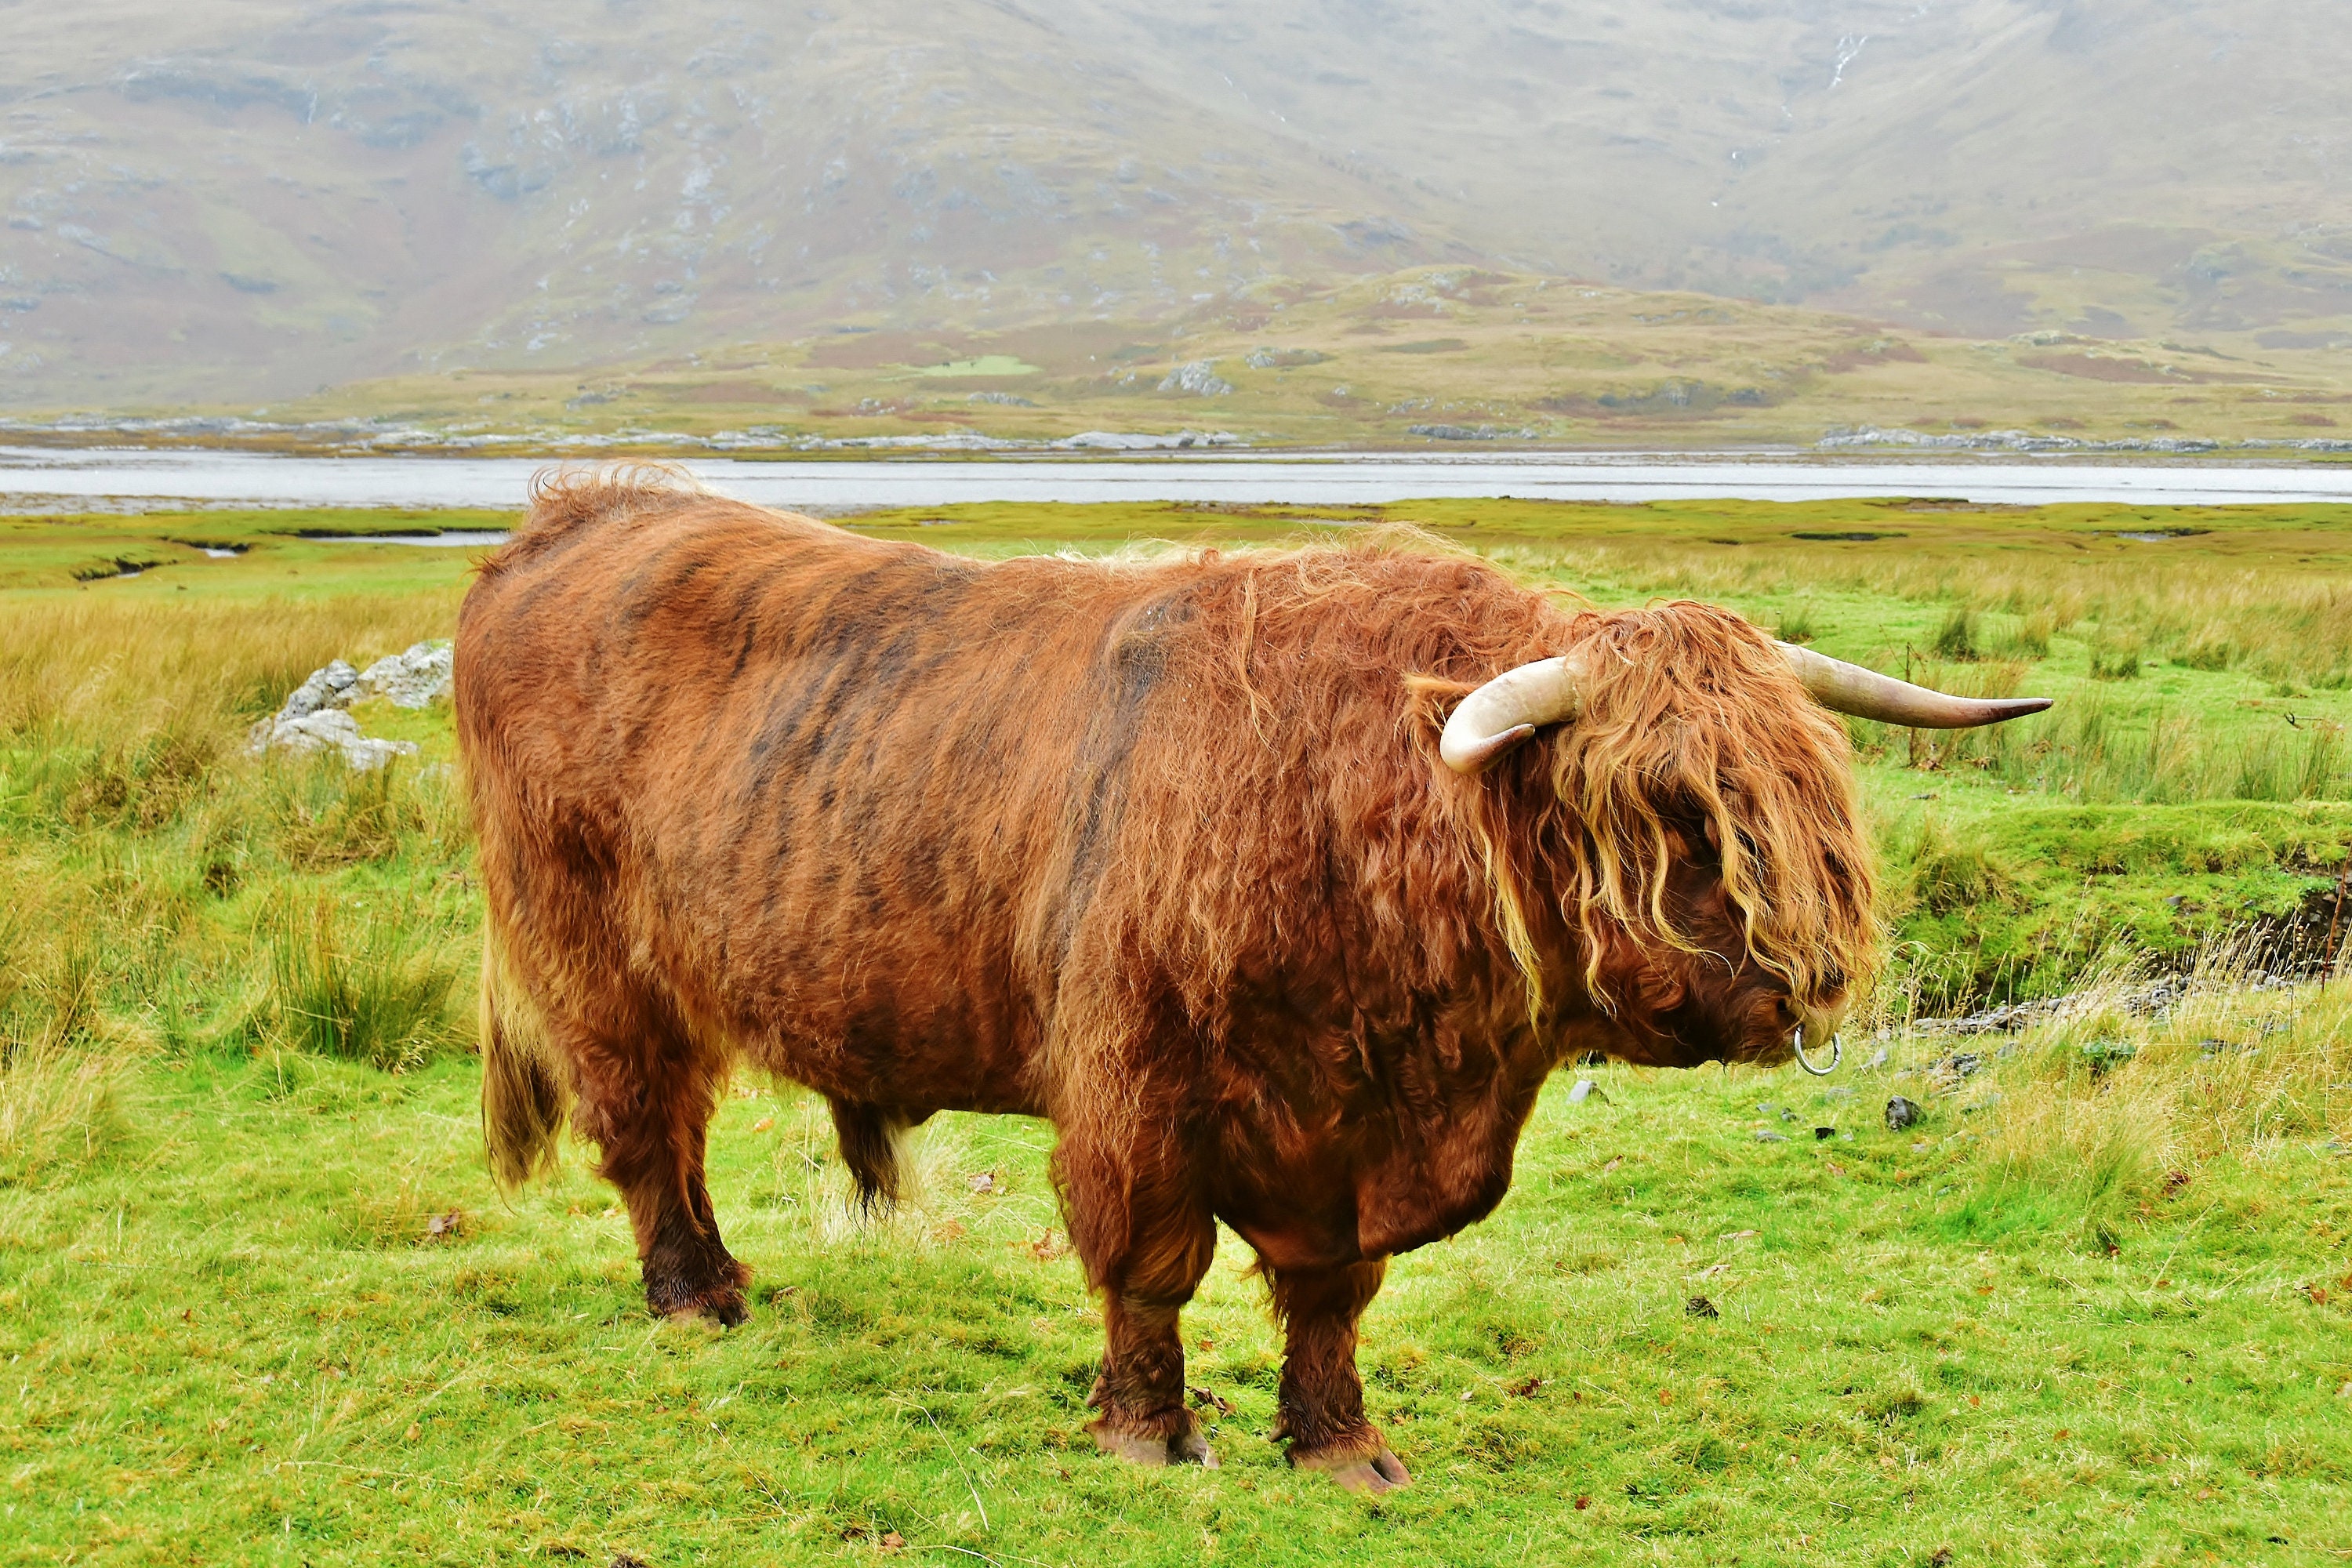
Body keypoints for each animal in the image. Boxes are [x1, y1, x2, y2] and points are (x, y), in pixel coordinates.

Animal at [459, 470, 2046, 1493]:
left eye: (1809, 788)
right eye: (1669, 808)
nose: (1811, 979)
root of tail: (572, 513)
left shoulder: (1345, 1140)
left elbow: (1335, 1292)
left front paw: (1344, 1447)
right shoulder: (1134, 1088)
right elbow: (1151, 1270)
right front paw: (1147, 1436)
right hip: (591, 958)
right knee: (649, 1128)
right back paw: (699, 1297)